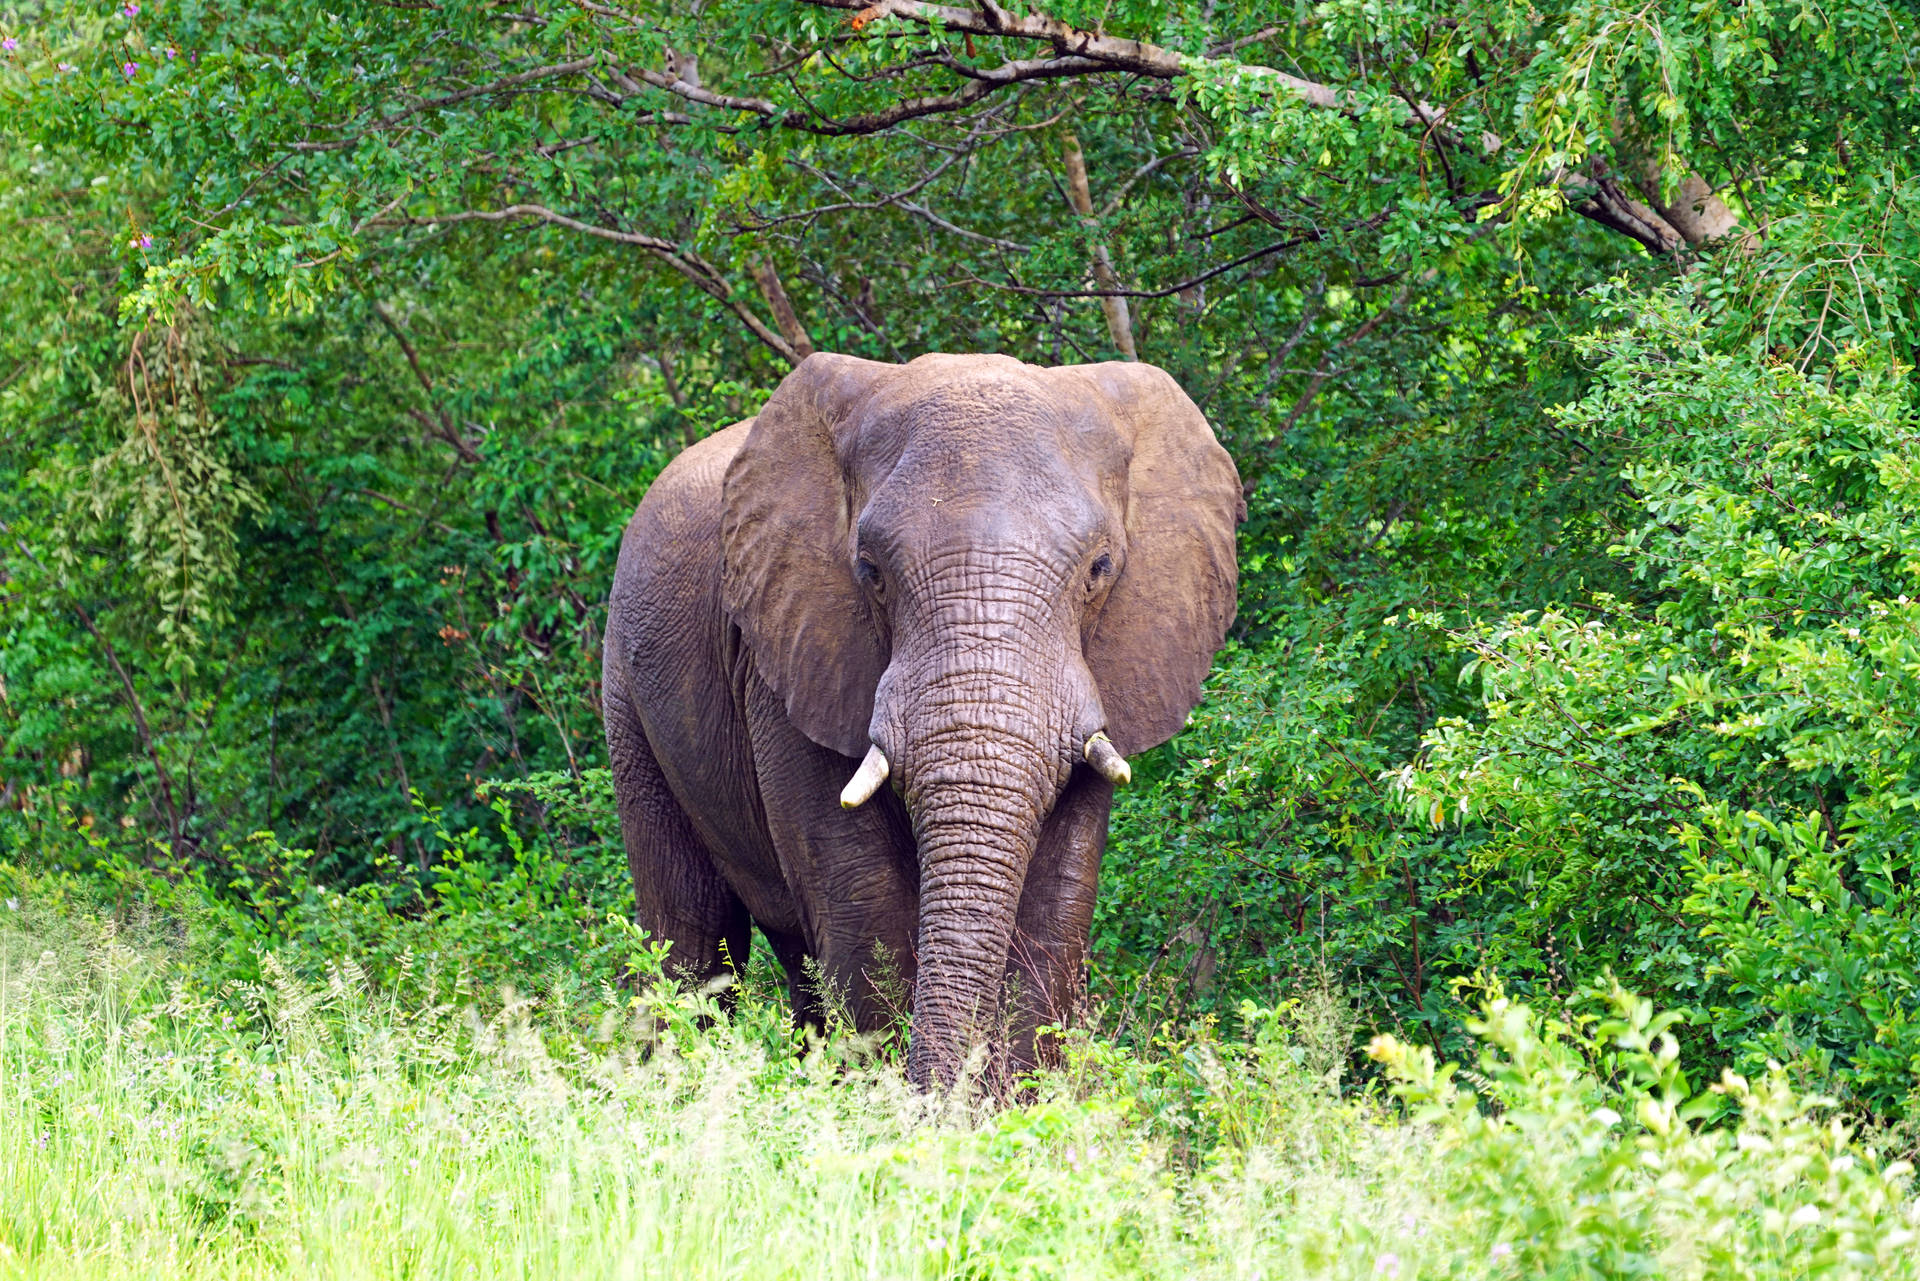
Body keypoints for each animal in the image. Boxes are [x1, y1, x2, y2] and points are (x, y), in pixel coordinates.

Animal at [601, 351, 1242, 1089]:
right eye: (870, 571)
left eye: (1099, 570)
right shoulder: (787, 649)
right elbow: (865, 895)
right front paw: (896, 1108)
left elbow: (1058, 900)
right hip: (627, 688)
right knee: (691, 934)